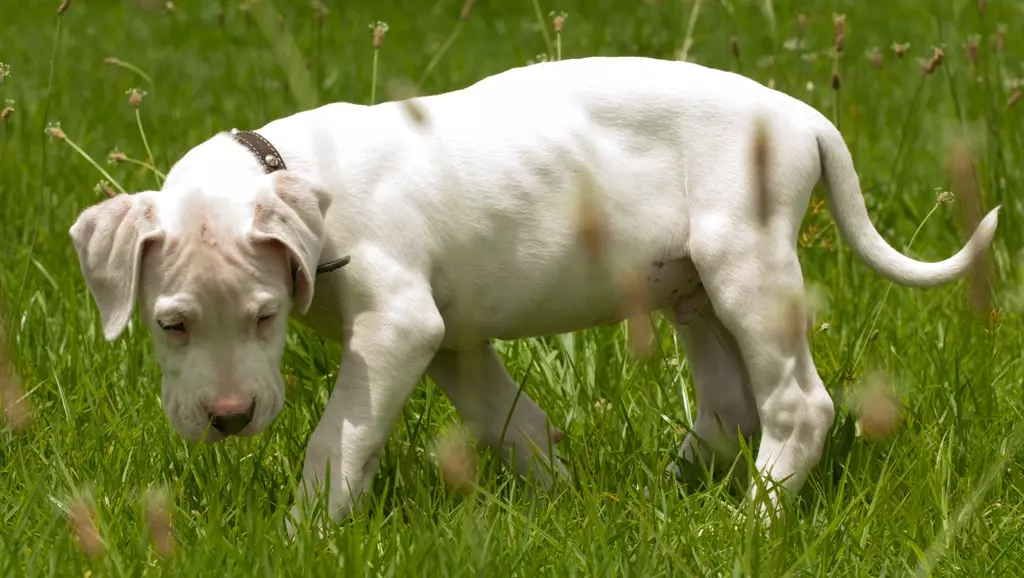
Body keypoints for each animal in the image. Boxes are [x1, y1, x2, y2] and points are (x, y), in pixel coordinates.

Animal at [68, 56, 995, 524]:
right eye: (171, 325)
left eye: (264, 317)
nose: (229, 421)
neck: (293, 172)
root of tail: (802, 116)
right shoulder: (452, 342)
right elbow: (516, 428)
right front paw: (562, 510)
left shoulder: (400, 329)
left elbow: (337, 443)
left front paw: (304, 538)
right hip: (693, 288)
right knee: (732, 407)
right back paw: (663, 505)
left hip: (748, 263)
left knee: (798, 405)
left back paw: (748, 530)